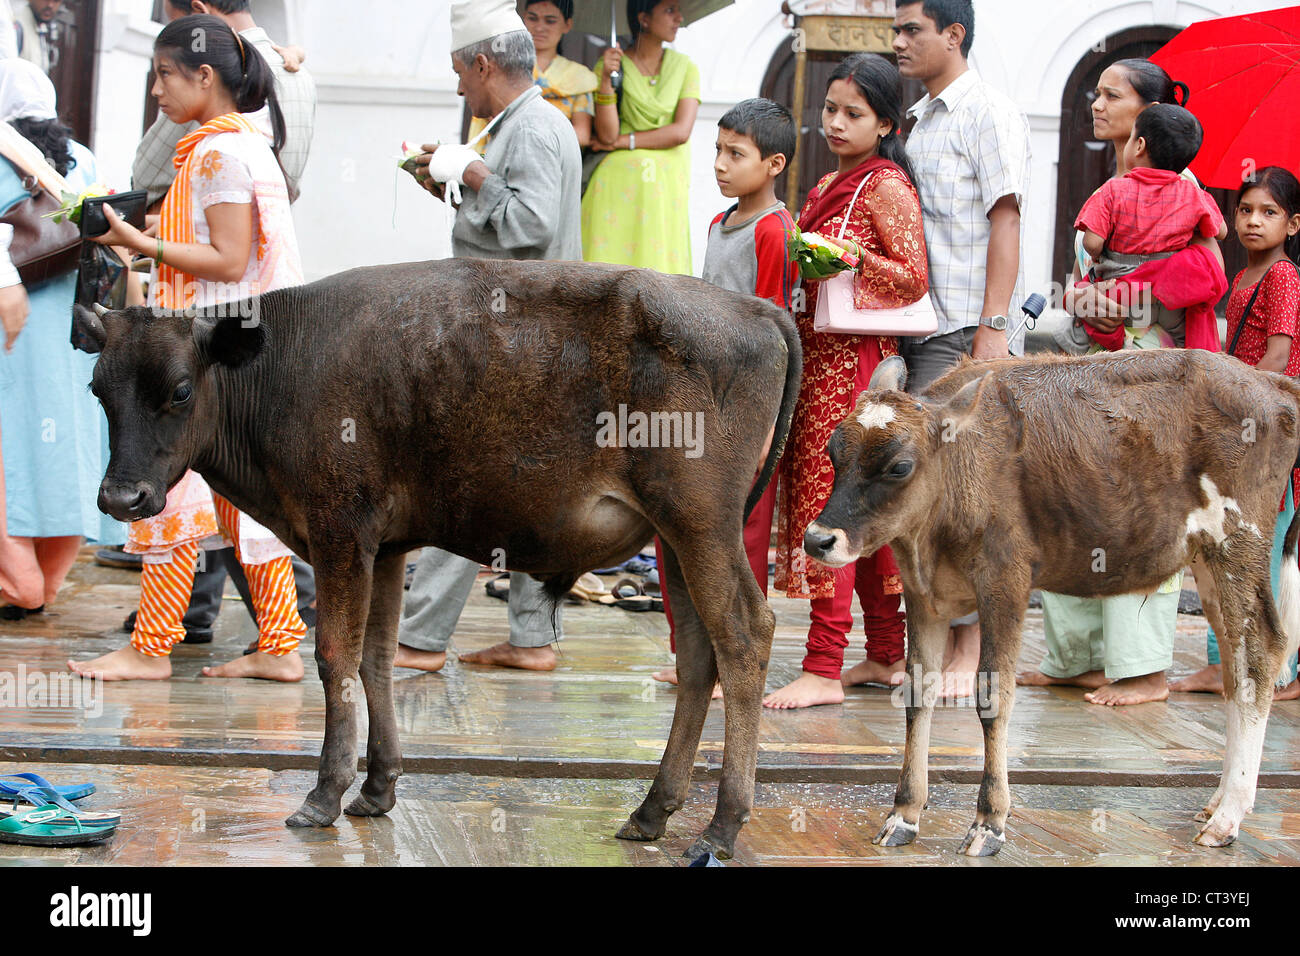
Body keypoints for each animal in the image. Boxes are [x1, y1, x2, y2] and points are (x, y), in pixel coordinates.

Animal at [73, 257, 801, 862]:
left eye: (179, 389)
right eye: (98, 391)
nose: (121, 496)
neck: (276, 369)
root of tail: (756, 310)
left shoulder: (341, 533)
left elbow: (335, 655)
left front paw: (323, 794)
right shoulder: (387, 546)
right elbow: (376, 657)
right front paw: (376, 787)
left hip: (700, 525)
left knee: (743, 637)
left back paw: (722, 823)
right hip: (675, 538)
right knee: (699, 654)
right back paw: (652, 811)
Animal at [803, 350, 1300, 856]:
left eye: (899, 467)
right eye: (834, 453)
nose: (818, 539)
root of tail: (1267, 382)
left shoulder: (1005, 582)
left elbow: (992, 697)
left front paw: (989, 822)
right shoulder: (925, 594)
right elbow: (917, 695)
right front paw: (904, 815)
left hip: (1238, 542)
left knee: (1260, 654)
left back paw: (1228, 814)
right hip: (1209, 561)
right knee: (1236, 669)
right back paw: (1218, 801)